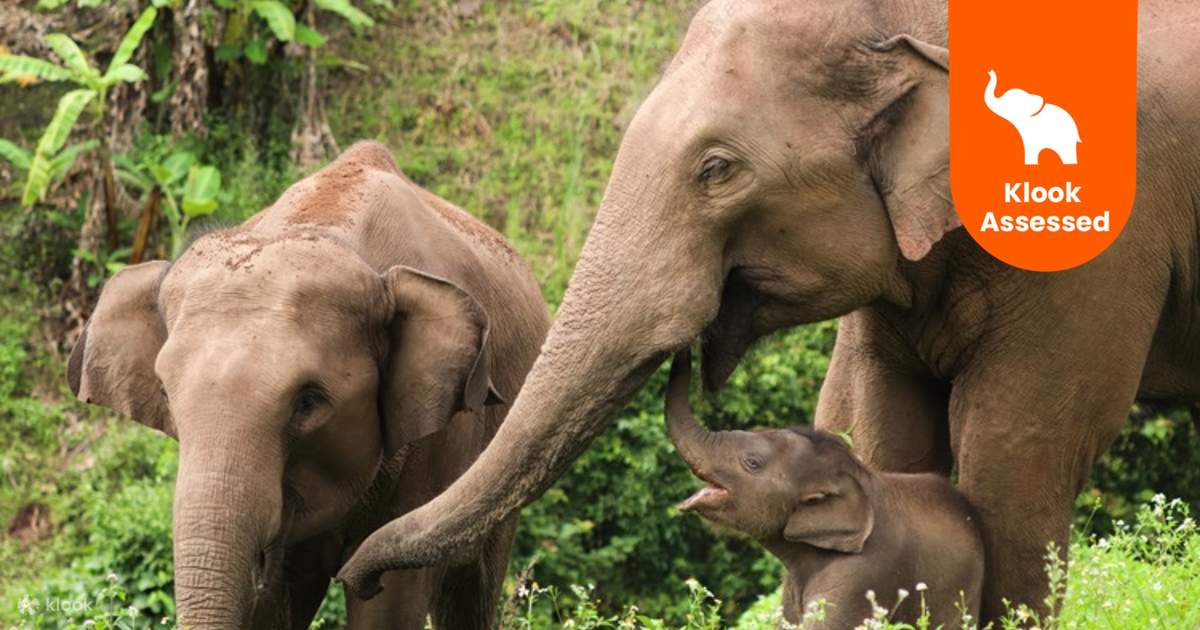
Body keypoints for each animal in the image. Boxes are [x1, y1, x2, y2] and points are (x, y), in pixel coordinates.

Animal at [67, 141, 550, 629]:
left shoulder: (440, 439)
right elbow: (276, 598)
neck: (325, 226)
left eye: (308, 402)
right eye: (166, 395)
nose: (355, 575)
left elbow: (391, 602)